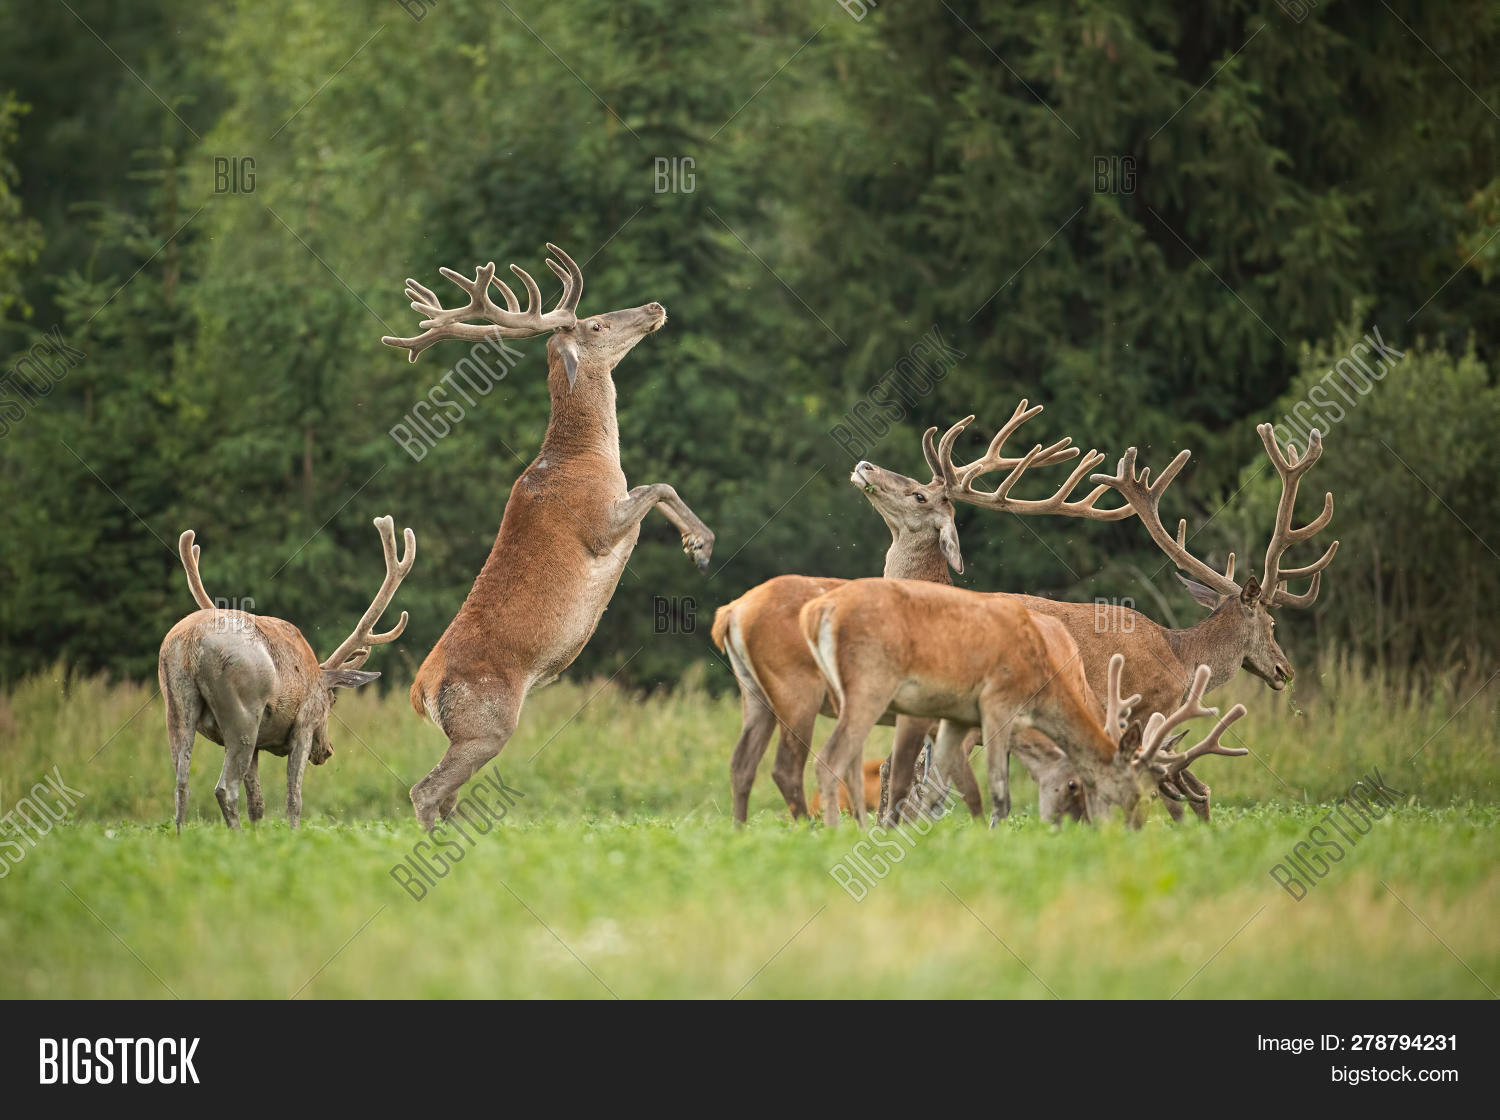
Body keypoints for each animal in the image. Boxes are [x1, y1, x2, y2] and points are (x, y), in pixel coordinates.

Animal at [158, 516, 415, 831]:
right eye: (333, 701)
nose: (327, 750)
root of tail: (192, 642)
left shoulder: (260, 745)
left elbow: (257, 803)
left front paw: (260, 835)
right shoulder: (304, 724)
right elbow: (294, 799)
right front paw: (293, 834)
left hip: (177, 706)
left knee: (181, 785)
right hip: (243, 712)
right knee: (224, 789)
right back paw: (235, 836)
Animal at [381, 244, 715, 829]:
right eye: (598, 322)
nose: (654, 306)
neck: (586, 457)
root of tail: (421, 692)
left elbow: (656, 488)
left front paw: (697, 546)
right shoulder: (598, 524)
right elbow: (660, 485)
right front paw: (701, 543)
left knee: (444, 795)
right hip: (487, 723)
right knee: (426, 791)